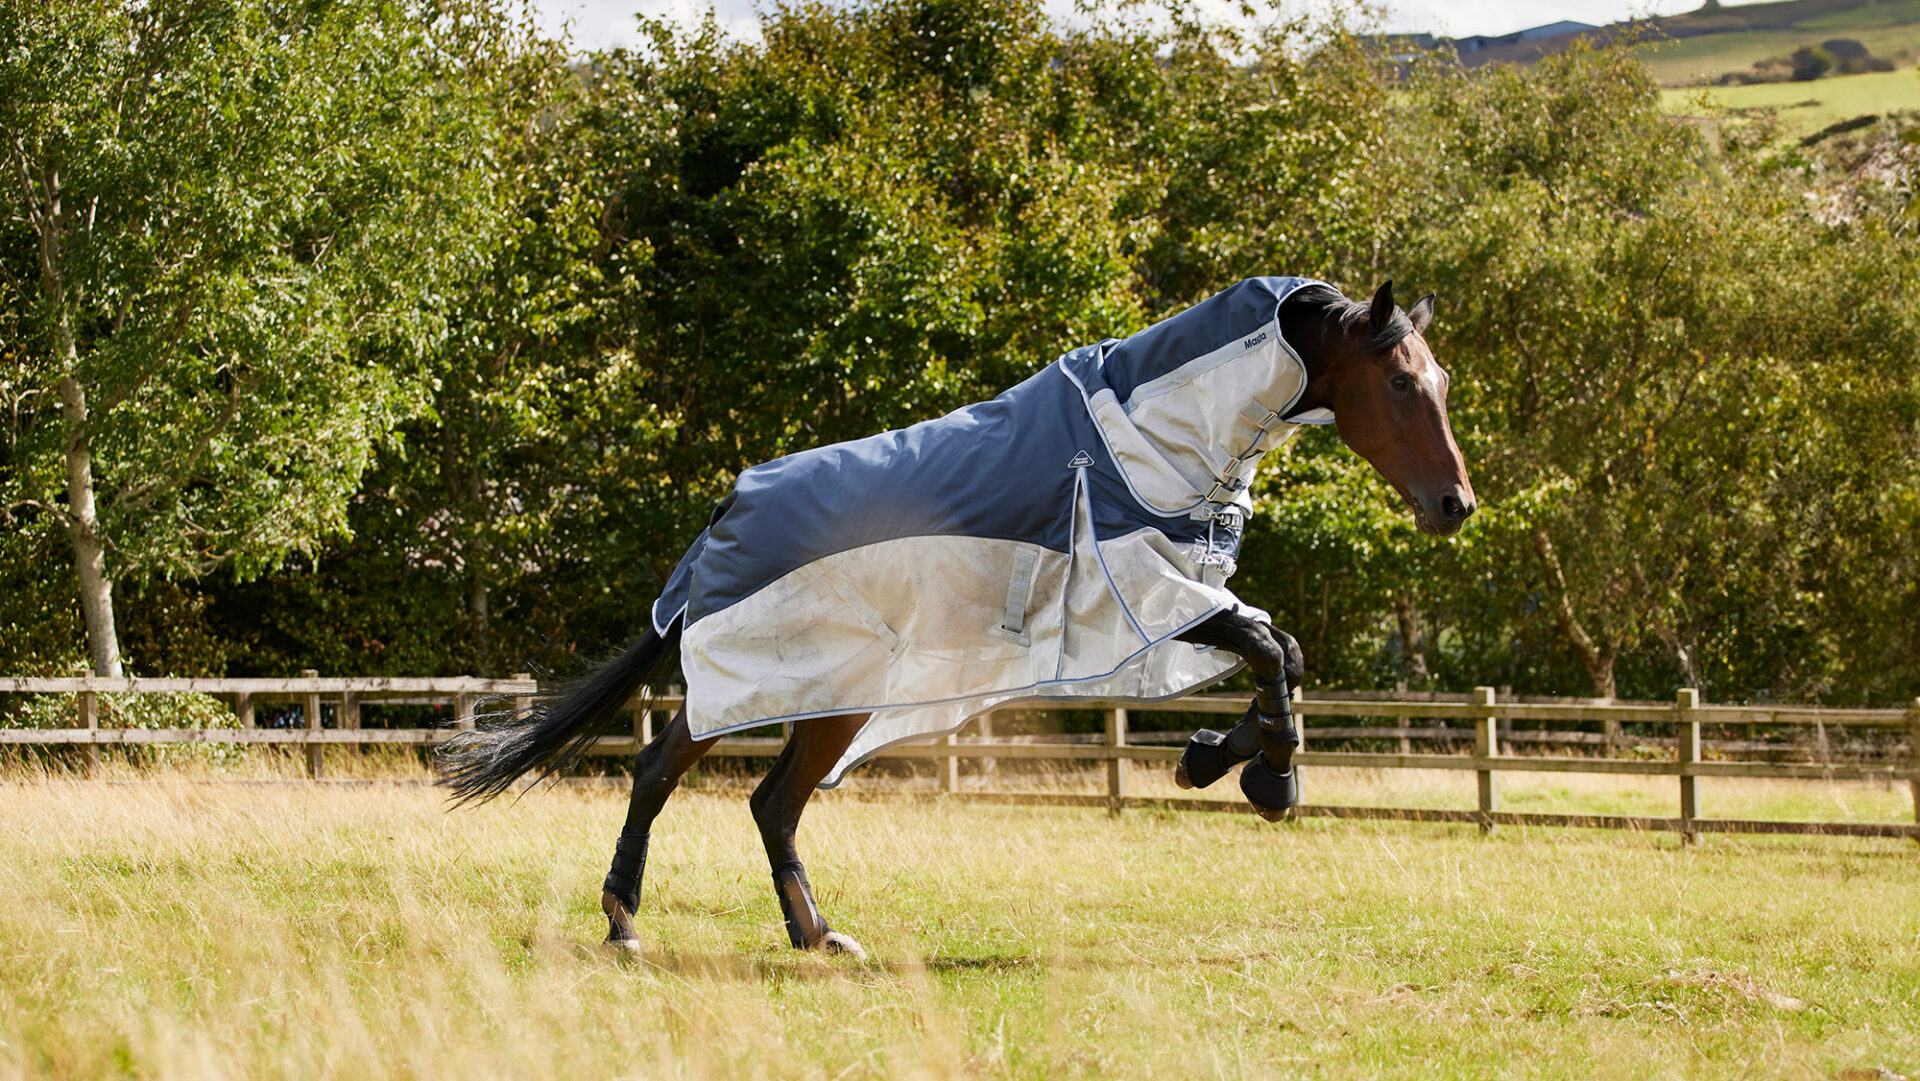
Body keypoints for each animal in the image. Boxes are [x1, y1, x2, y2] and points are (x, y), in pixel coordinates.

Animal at [436, 277, 1475, 960]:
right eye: (1398, 383)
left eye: (1442, 383)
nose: (1455, 505)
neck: (1141, 436)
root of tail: (725, 515)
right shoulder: (1143, 597)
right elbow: (1268, 645)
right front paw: (1254, 771)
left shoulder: (1177, 598)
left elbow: (1281, 650)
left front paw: (1232, 758)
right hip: (758, 681)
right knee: (662, 769)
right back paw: (625, 923)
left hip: (837, 698)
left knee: (772, 801)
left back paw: (818, 936)